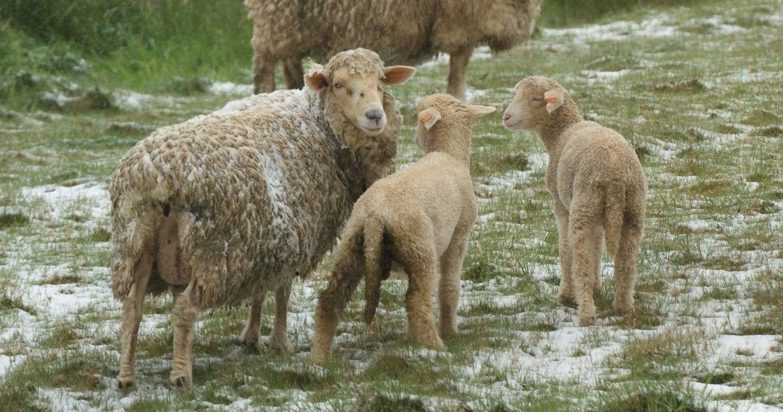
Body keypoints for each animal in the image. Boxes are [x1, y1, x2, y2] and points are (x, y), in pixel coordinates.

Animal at [110, 48, 416, 389]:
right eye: (338, 84)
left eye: (380, 81)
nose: (375, 116)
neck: (319, 123)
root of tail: (158, 176)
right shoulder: (297, 234)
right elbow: (282, 292)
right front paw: (280, 342)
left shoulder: (266, 241)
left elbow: (260, 290)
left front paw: (251, 336)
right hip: (216, 253)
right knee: (184, 309)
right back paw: (180, 375)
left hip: (137, 243)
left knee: (132, 309)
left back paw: (126, 376)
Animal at [244, 0, 543, 99]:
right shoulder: (460, 23)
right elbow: (458, 69)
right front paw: (458, 99)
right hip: (278, 24)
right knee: (264, 66)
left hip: (296, 28)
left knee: (291, 66)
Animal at [310, 93, 496, 364]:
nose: (415, 139)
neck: (448, 153)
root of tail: (376, 215)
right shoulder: (459, 236)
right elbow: (449, 286)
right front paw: (450, 330)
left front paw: (411, 338)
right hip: (419, 249)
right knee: (416, 302)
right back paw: (436, 347)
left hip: (352, 246)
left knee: (329, 301)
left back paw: (319, 359)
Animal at [502, 76, 647, 326]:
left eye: (536, 98)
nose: (506, 117)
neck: (563, 132)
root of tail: (616, 175)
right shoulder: (597, 218)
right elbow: (597, 245)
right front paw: (598, 286)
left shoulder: (561, 206)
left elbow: (563, 248)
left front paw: (566, 294)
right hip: (630, 210)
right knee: (626, 262)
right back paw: (623, 307)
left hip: (584, 205)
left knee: (580, 258)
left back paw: (585, 312)